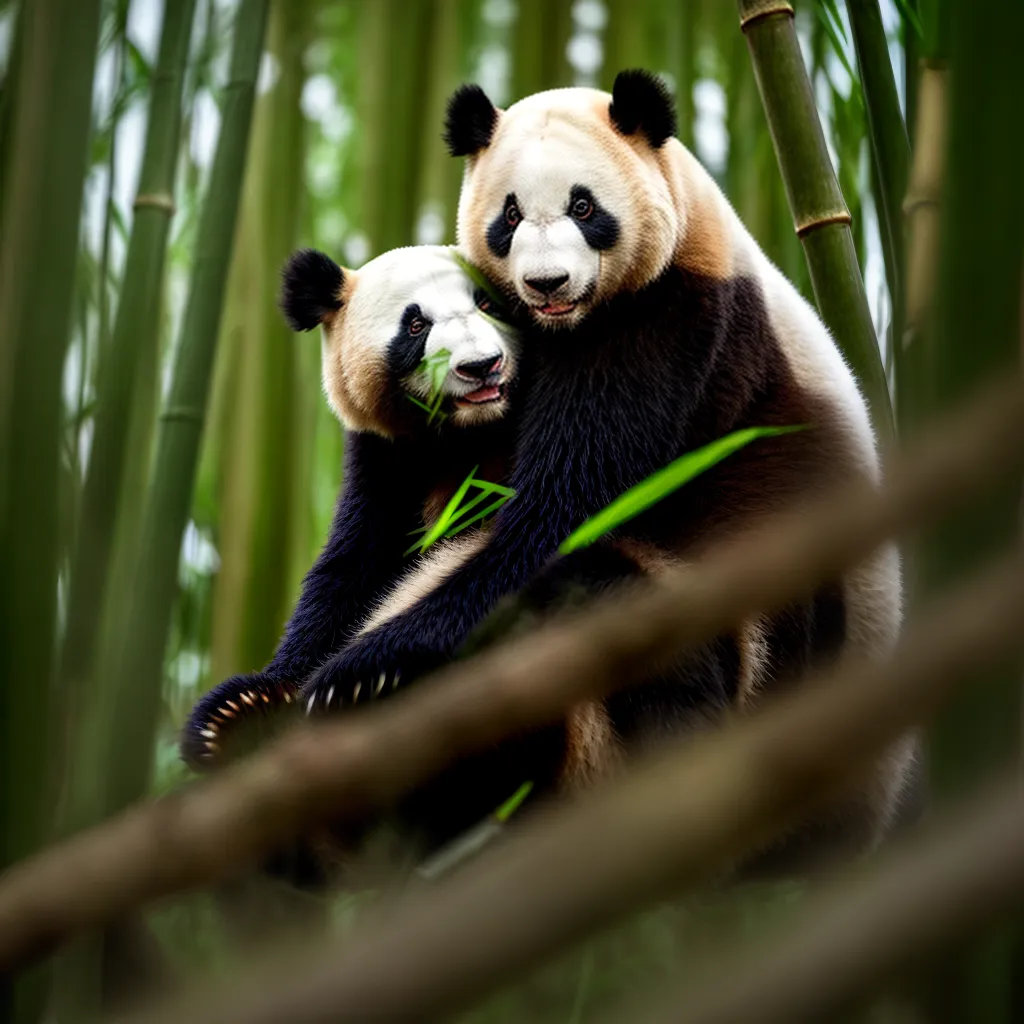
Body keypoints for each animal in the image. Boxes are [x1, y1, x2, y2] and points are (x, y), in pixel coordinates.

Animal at [292, 70, 916, 870]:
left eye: (584, 207)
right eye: (509, 215)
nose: (548, 283)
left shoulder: (668, 321)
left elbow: (561, 515)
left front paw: (361, 668)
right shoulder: (397, 449)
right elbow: (361, 556)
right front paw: (248, 705)